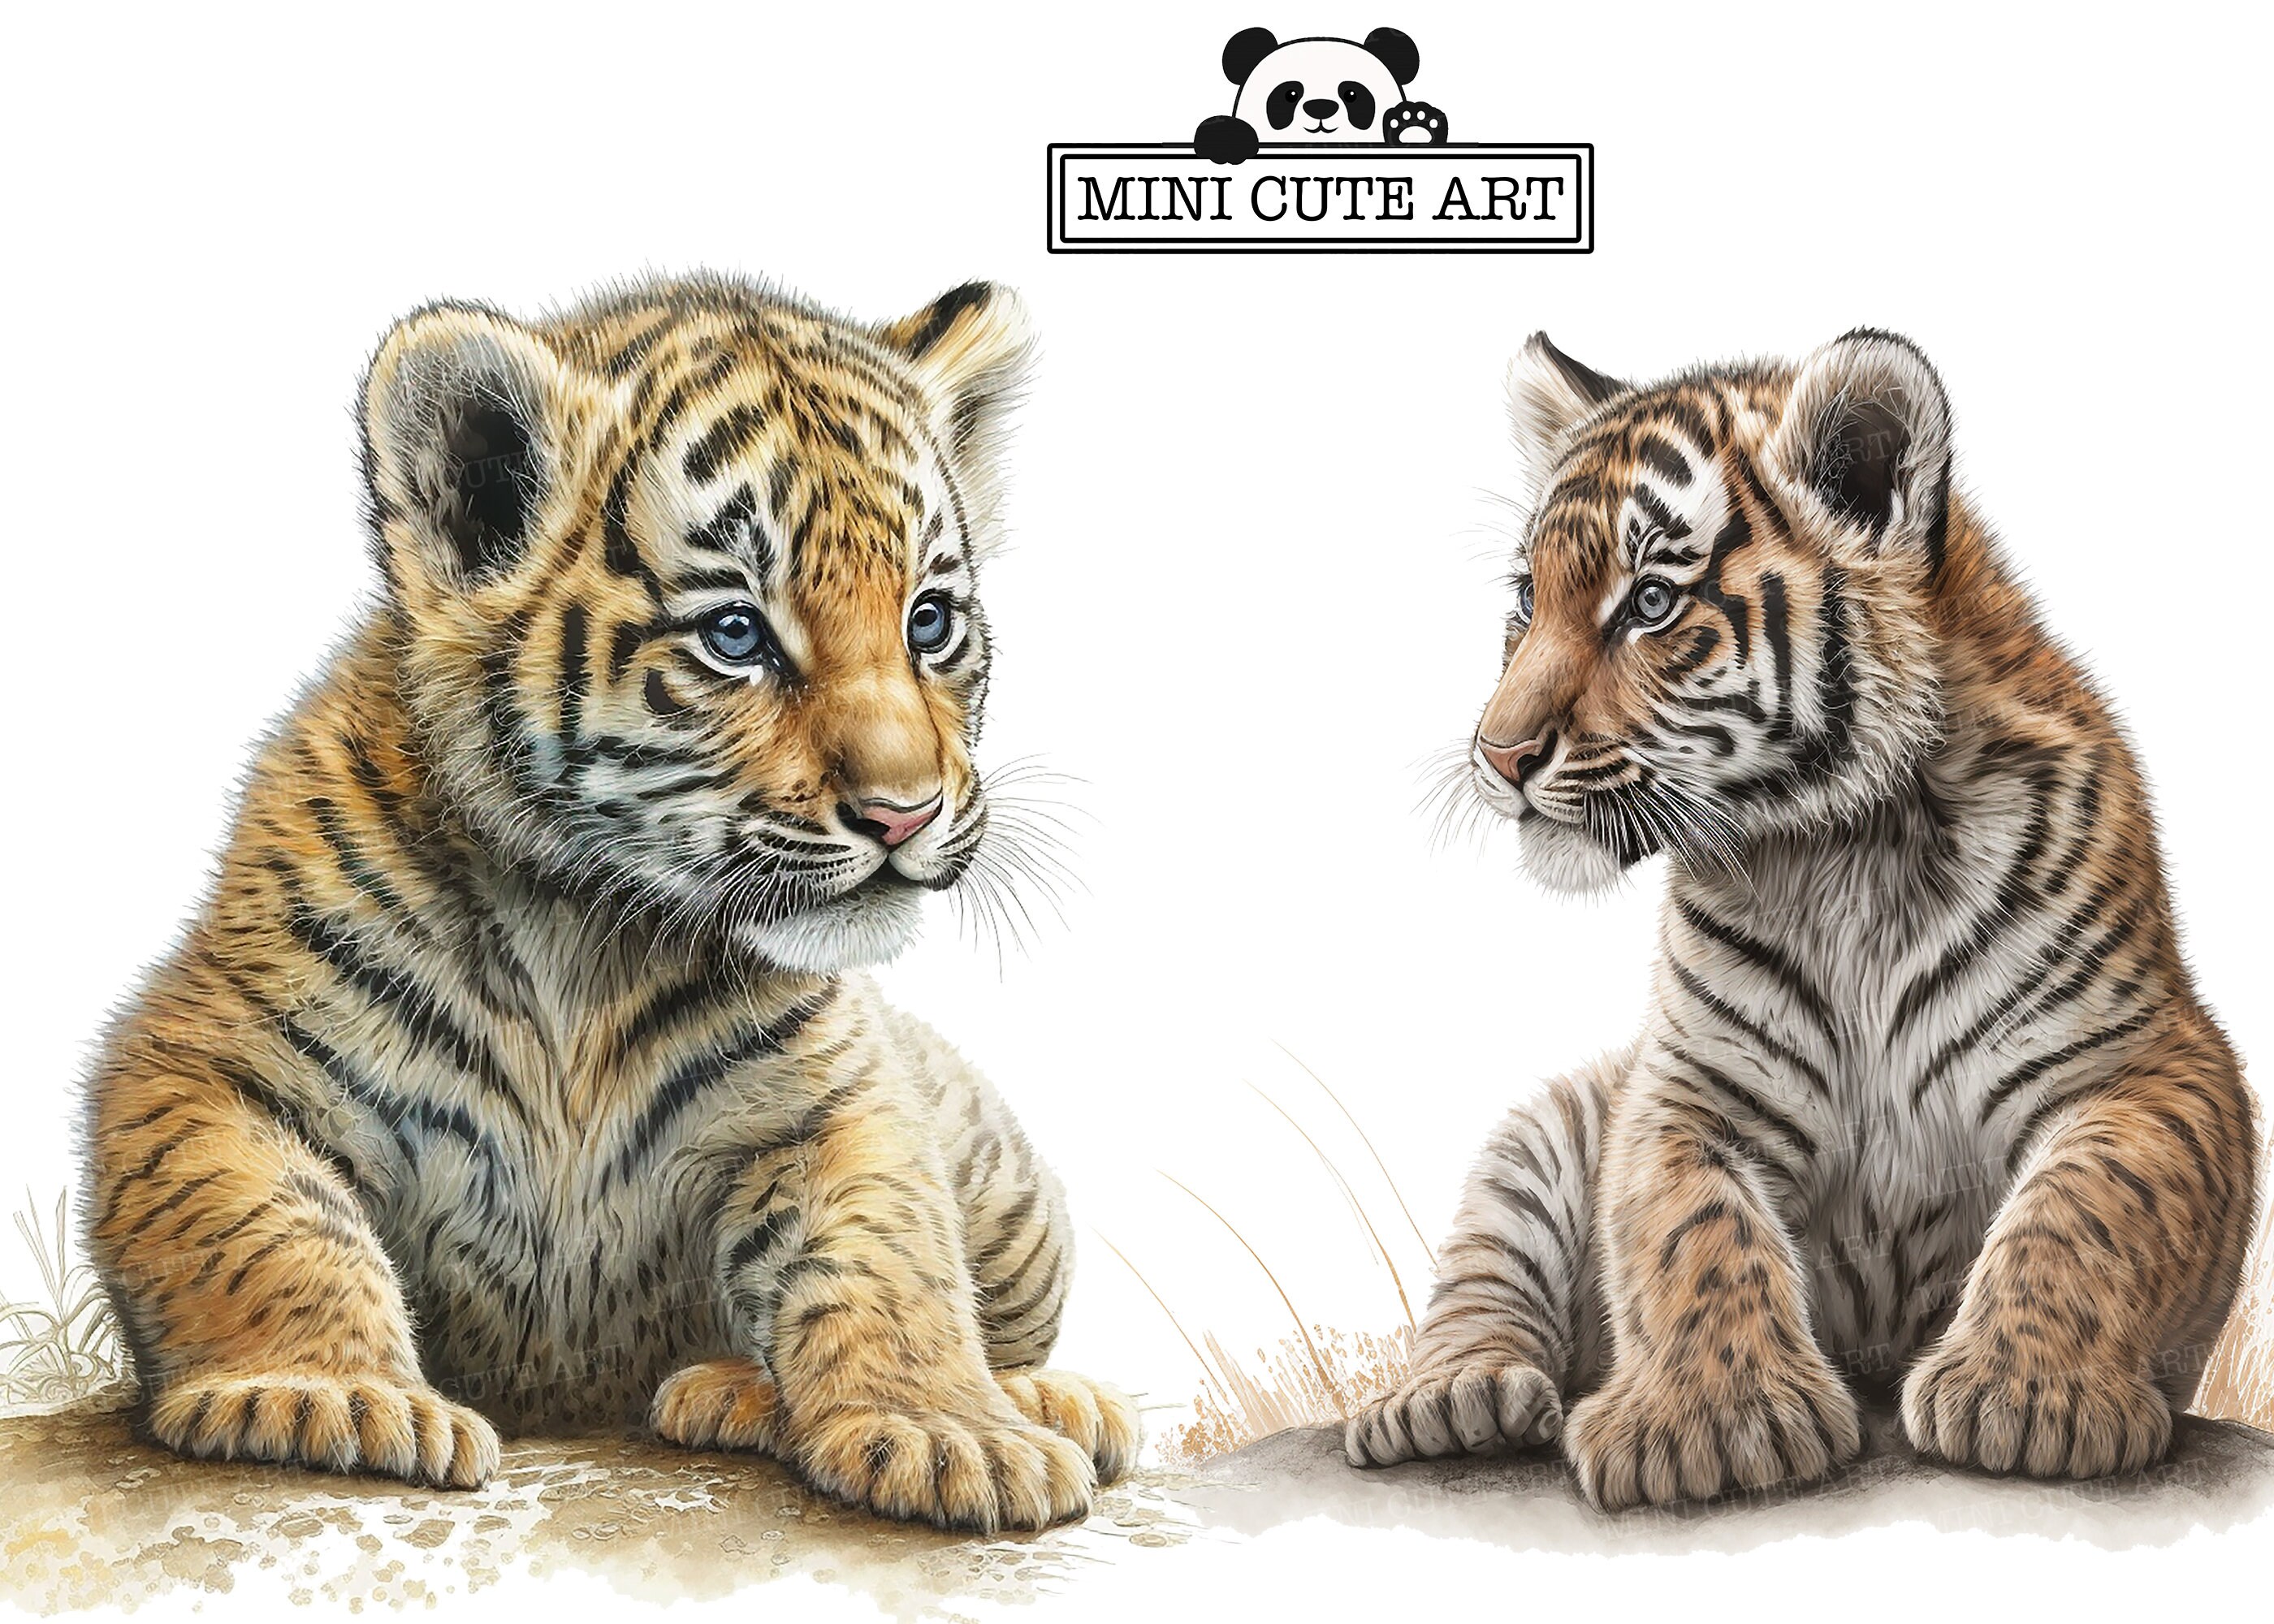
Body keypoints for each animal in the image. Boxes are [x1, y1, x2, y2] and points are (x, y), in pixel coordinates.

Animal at [79, 272, 1138, 1533]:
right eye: (736, 634)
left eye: (929, 621)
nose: (905, 814)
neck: (584, 932)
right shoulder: (199, 1058)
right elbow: (264, 1225)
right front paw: (319, 1394)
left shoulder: (834, 1104)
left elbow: (886, 1252)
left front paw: (954, 1431)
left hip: (1010, 1183)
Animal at [1346, 329, 2261, 1509]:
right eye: (1524, 597)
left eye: (1650, 603)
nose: (1496, 757)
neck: (1841, 855)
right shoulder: (1683, 1090)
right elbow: (1689, 1223)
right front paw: (1711, 1423)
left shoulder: (2152, 1063)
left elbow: (2088, 1200)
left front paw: (2026, 1398)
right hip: (1542, 1129)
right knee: (1481, 1273)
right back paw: (1450, 1400)